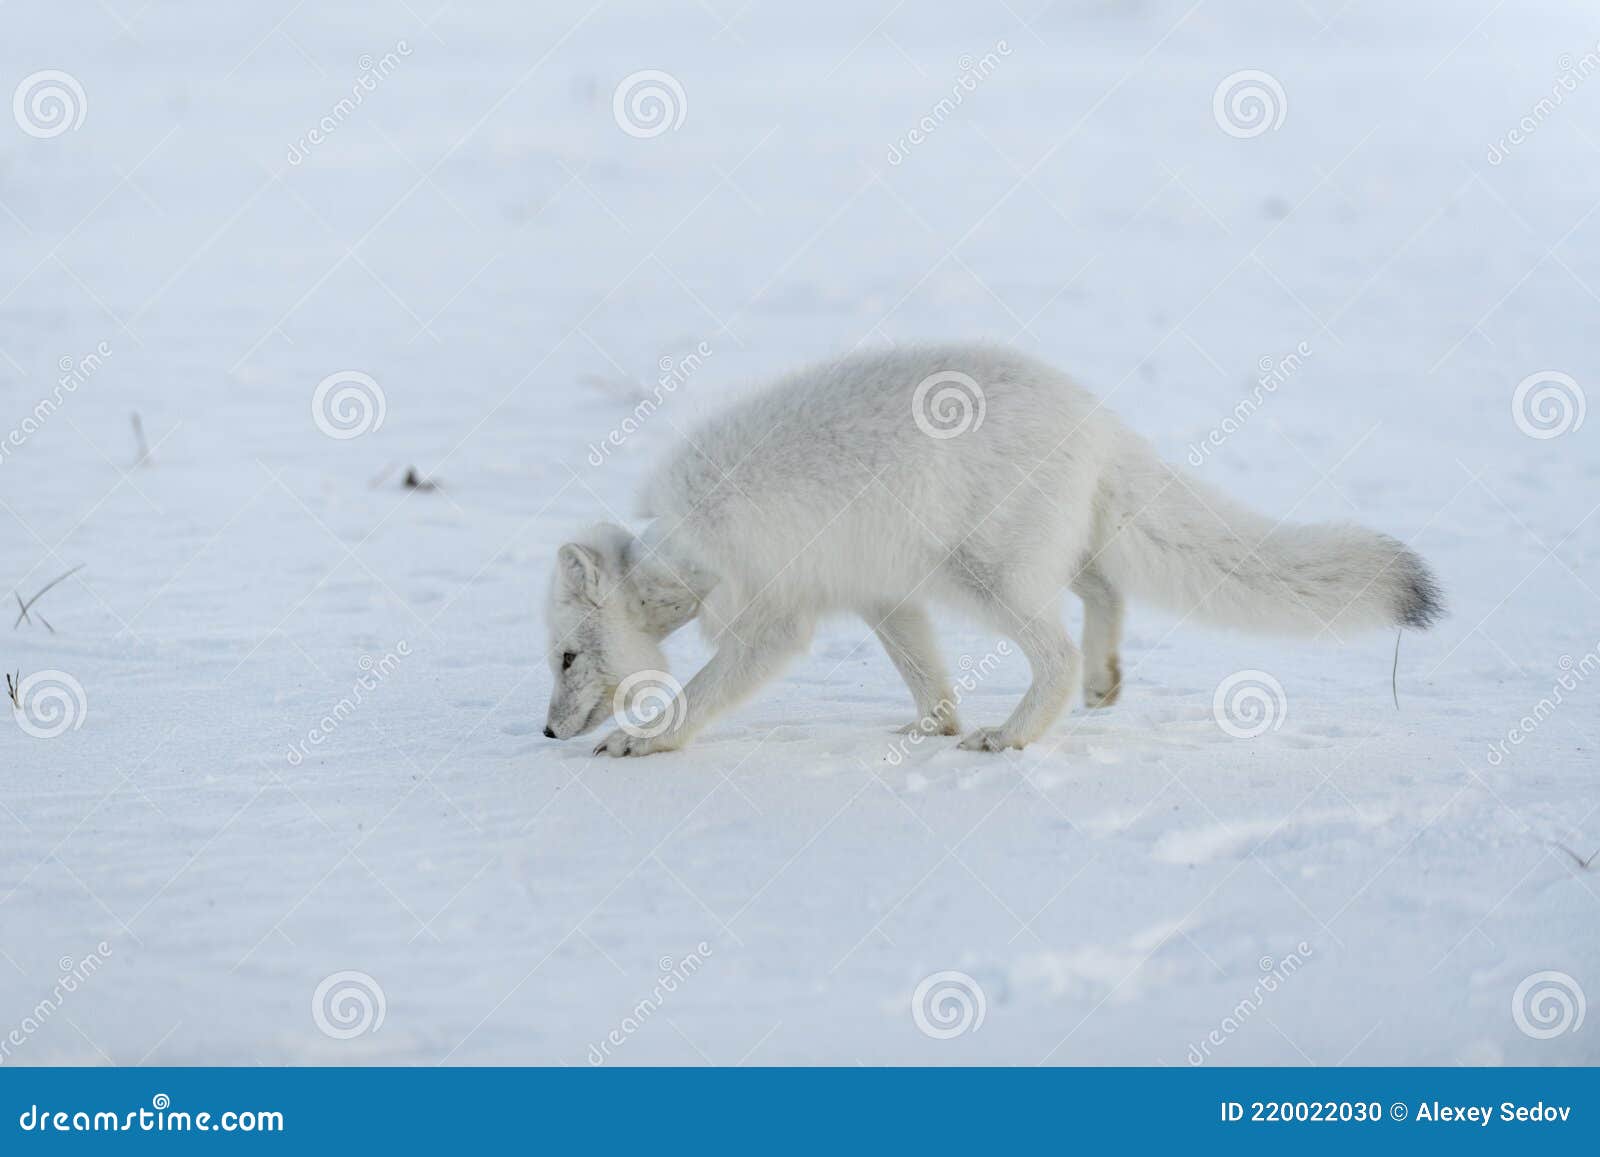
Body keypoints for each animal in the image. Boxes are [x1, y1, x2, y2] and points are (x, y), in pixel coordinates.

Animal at [543, 344, 1442, 757]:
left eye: (563, 657)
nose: (549, 734)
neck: (682, 553)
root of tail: (1097, 416)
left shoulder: (777, 617)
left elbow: (700, 689)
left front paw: (642, 739)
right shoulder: (883, 595)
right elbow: (925, 674)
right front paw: (929, 727)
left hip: (985, 576)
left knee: (1058, 651)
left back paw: (1012, 736)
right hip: (1016, 558)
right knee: (1105, 591)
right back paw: (1103, 683)